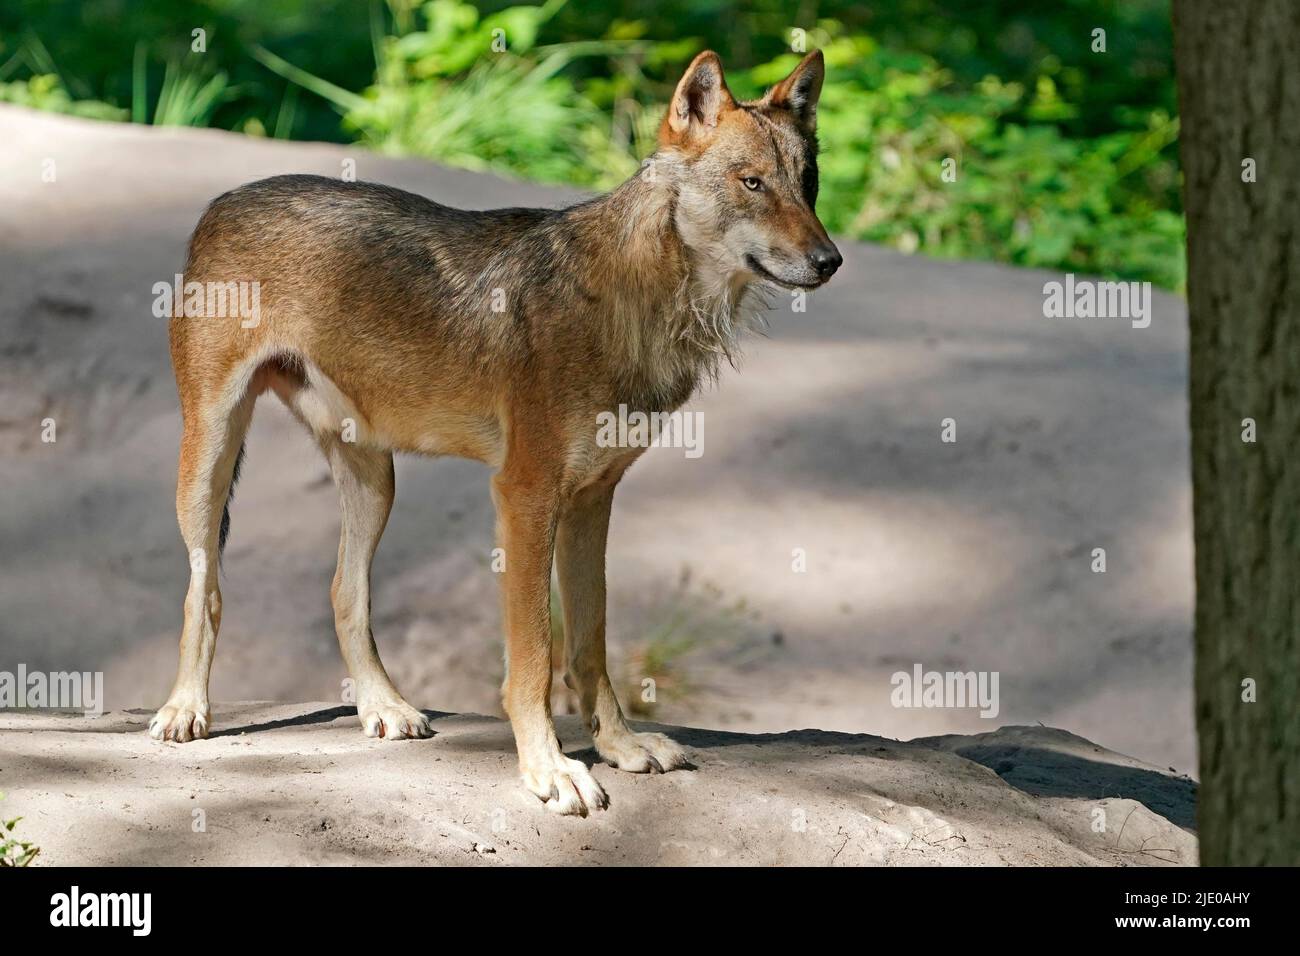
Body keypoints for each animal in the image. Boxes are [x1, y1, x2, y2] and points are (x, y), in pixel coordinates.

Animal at [153, 49, 841, 815]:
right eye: (752, 183)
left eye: (808, 182)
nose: (830, 261)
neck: (635, 295)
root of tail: (225, 198)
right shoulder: (525, 495)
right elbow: (535, 658)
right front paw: (549, 771)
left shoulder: (592, 500)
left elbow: (590, 643)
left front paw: (621, 748)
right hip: (209, 461)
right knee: (205, 588)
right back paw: (185, 710)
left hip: (376, 481)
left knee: (342, 591)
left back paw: (383, 708)